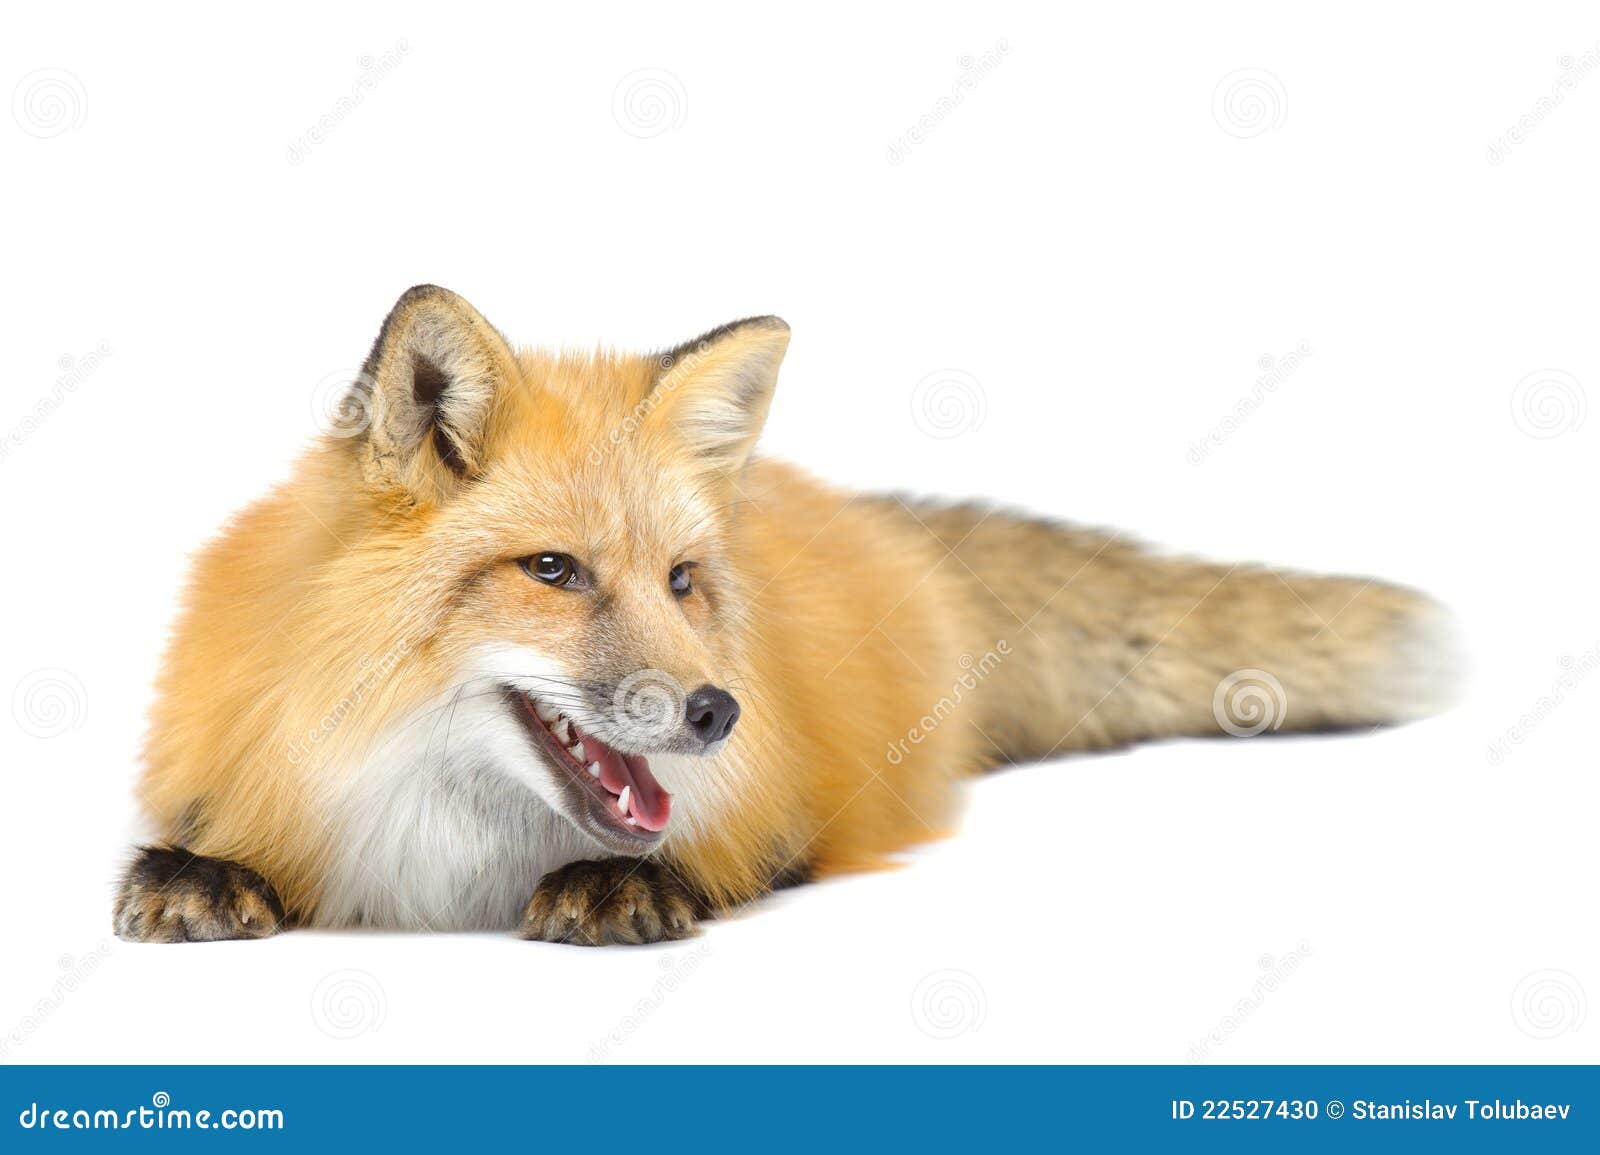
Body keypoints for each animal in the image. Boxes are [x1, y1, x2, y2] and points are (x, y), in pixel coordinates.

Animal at [113, 285, 1461, 945]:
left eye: (679, 582)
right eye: (552, 571)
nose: (716, 711)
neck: (453, 855)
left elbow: (729, 851)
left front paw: (628, 887)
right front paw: (195, 871)